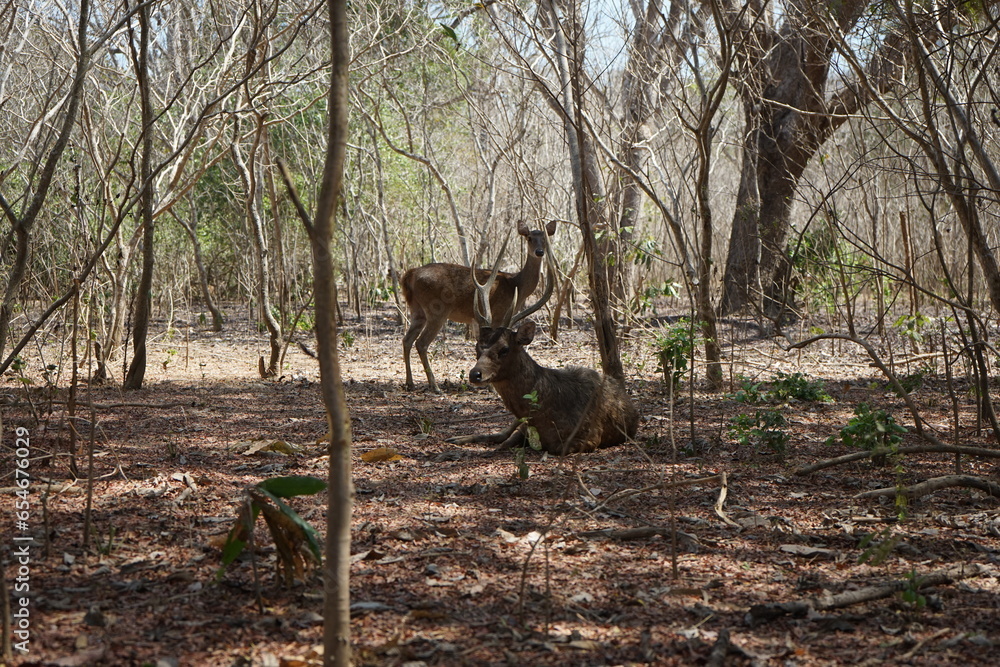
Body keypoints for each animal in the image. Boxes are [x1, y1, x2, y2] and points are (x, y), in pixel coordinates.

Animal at [401, 219, 558, 393]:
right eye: (529, 238)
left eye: (545, 239)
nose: (540, 252)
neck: (517, 285)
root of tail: (411, 274)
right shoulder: (499, 312)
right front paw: (491, 386)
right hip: (436, 310)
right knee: (421, 343)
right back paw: (434, 386)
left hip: (417, 310)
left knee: (407, 340)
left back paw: (410, 383)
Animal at [446, 248, 640, 455]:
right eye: (477, 347)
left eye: (504, 348)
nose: (475, 374)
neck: (546, 413)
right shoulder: (526, 427)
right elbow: (503, 443)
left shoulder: (590, 436)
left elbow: (550, 447)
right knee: (500, 434)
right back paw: (456, 438)